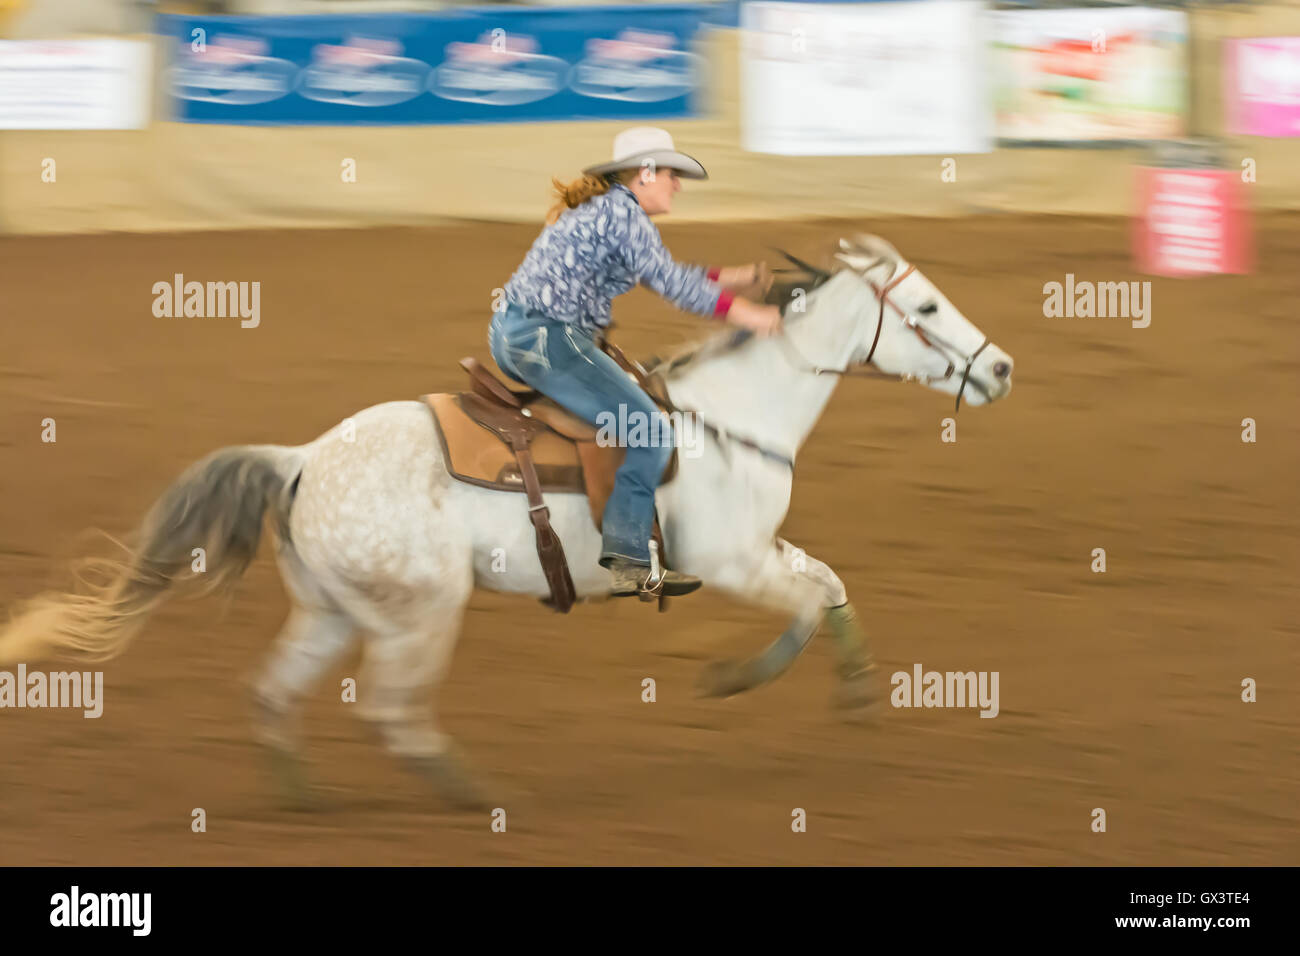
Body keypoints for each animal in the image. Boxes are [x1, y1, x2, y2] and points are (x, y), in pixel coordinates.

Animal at [0, 234, 1014, 809]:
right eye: (926, 306)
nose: (1001, 368)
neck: (732, 418)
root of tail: (302, 460)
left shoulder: (764, 551)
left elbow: (830, 586)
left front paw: (859, 687)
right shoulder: (733, 561)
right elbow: (802, 605)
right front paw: (732, 680)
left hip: (333, 609)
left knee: (275, 694)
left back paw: (305, 801)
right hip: (420, 607)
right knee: (393, 711)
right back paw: (474, 795)